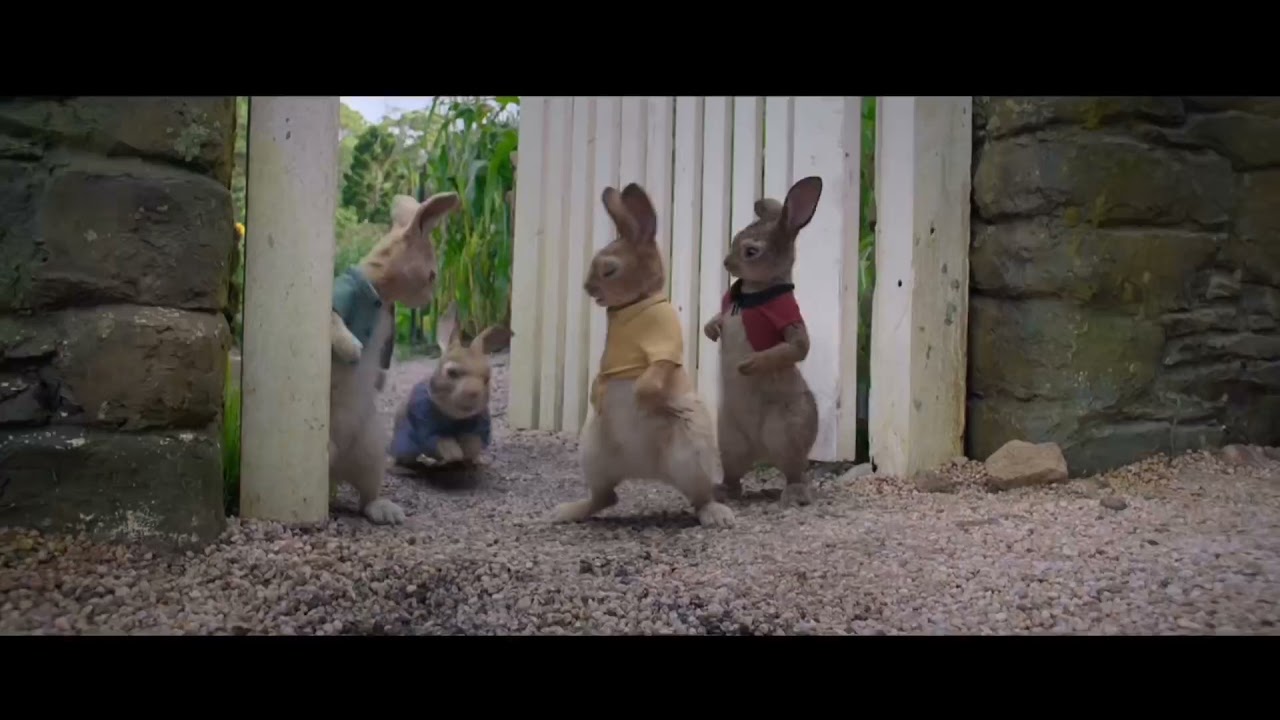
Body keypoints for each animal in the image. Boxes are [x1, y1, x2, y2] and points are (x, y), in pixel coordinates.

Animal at [328, 191, 460, 524]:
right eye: (432, 275)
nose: (429, 299)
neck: (380, 291)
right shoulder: (338, 301)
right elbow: (334, 321)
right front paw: (353, 349)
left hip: (371, 450)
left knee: (366, 497)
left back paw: (386, 512)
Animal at [387, 304, 513, 474]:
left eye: (487, 378)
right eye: (451, 373)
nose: (473, 392)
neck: (455, 415)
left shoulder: (479, 426)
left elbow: (474, 441)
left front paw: (466, 453)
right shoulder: (424, 421)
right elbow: (440, 440)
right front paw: (455, 454)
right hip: (404, 445)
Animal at [552, 183, 736, 529]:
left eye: (609, 269)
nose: (588, 288)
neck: (634, 303)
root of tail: (649, 472)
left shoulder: (662, 349)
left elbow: (649, 381)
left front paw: (661, 404)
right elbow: (600, 381)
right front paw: (598, 400)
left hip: (692, 455)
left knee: (700, 498)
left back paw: (717, 516)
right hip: (594, 456)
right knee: (605, 498)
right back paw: (566, 511)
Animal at [702, 176, 823, 507]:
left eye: (751, 251)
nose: (726, 263)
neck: (753, 294)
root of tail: (762, 453)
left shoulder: (788, 318)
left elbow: (797, 347)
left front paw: (750, 365)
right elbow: (718, 319)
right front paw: (711, 330)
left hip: (788, 432)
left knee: (795, 472)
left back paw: (794, 495)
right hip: (730, 440)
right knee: (734, 476)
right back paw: (721, 491)